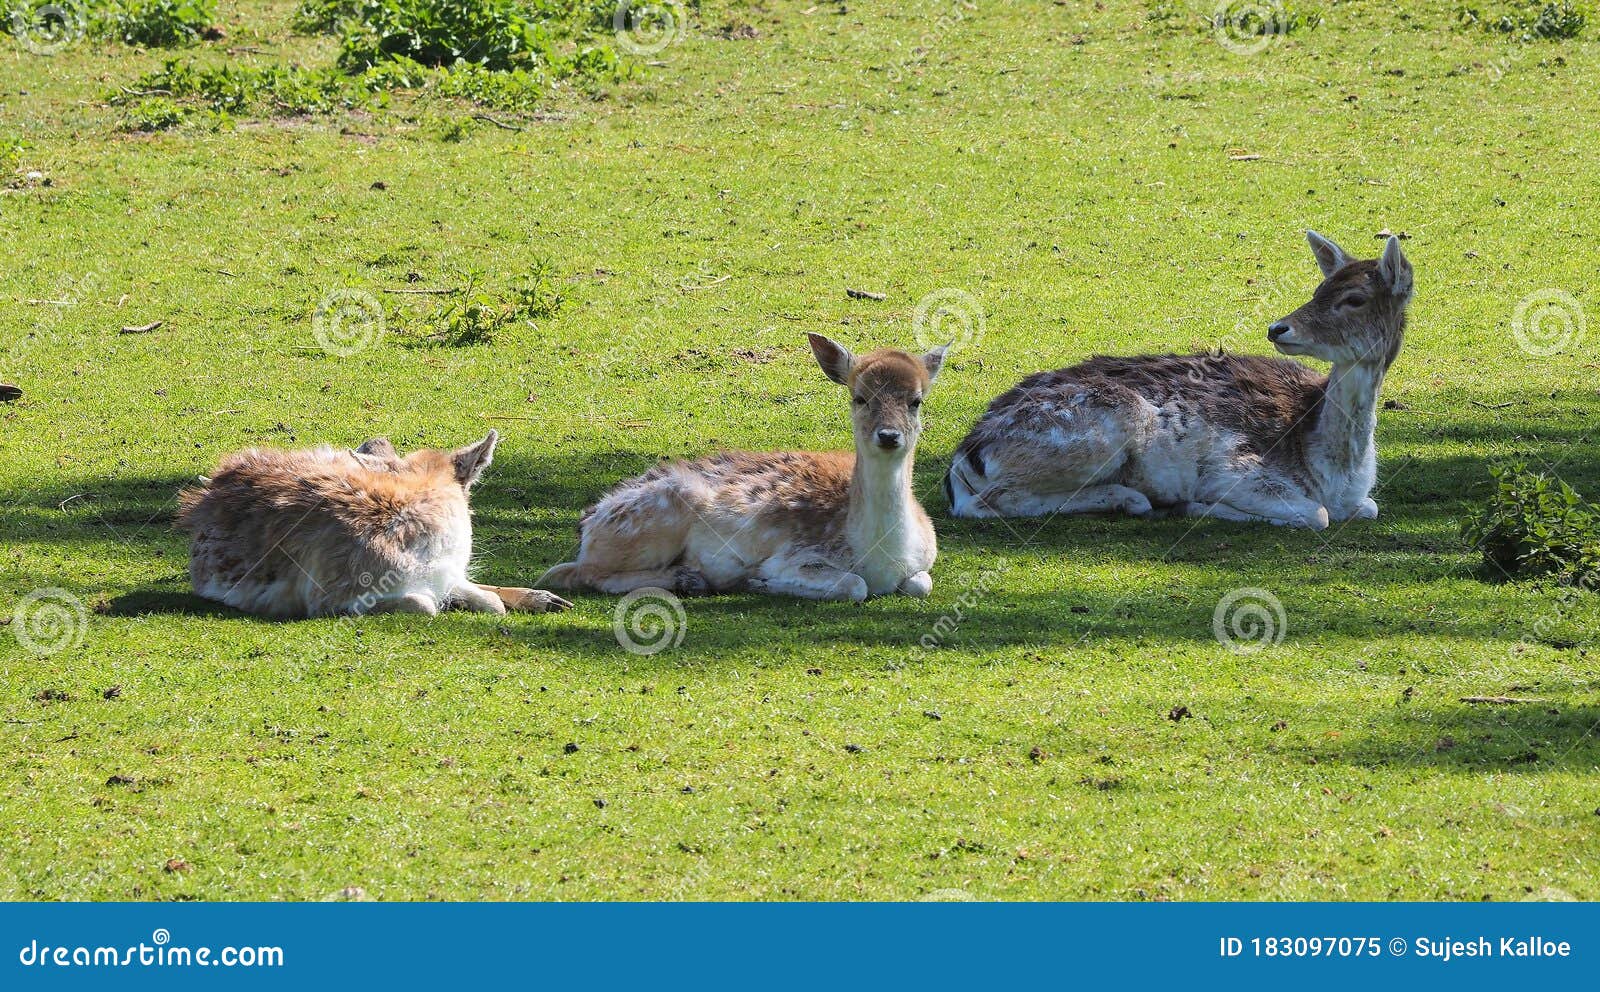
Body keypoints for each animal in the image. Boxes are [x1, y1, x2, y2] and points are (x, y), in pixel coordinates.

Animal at [538, 334, 947, 601]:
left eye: (916, 400)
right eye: (859, 397)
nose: (889, 435)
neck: (883, 555)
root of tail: (589, 520)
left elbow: (920, 584)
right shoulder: (795, 556)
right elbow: (853, 586)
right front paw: (757, 582)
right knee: (573, 573)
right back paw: (689, 578)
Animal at [945, 232, 1414, 529]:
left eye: (1354, 298)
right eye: (1318, 289)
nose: (1278, 328)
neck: (1335, 468)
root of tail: (966, 456)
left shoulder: (1360, 497)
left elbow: (1369, 507)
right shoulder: (1233, 467)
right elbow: (1317, 514)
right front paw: (1198, 506)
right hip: (1105, 422)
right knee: (989, 502)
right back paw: (1136, 499)